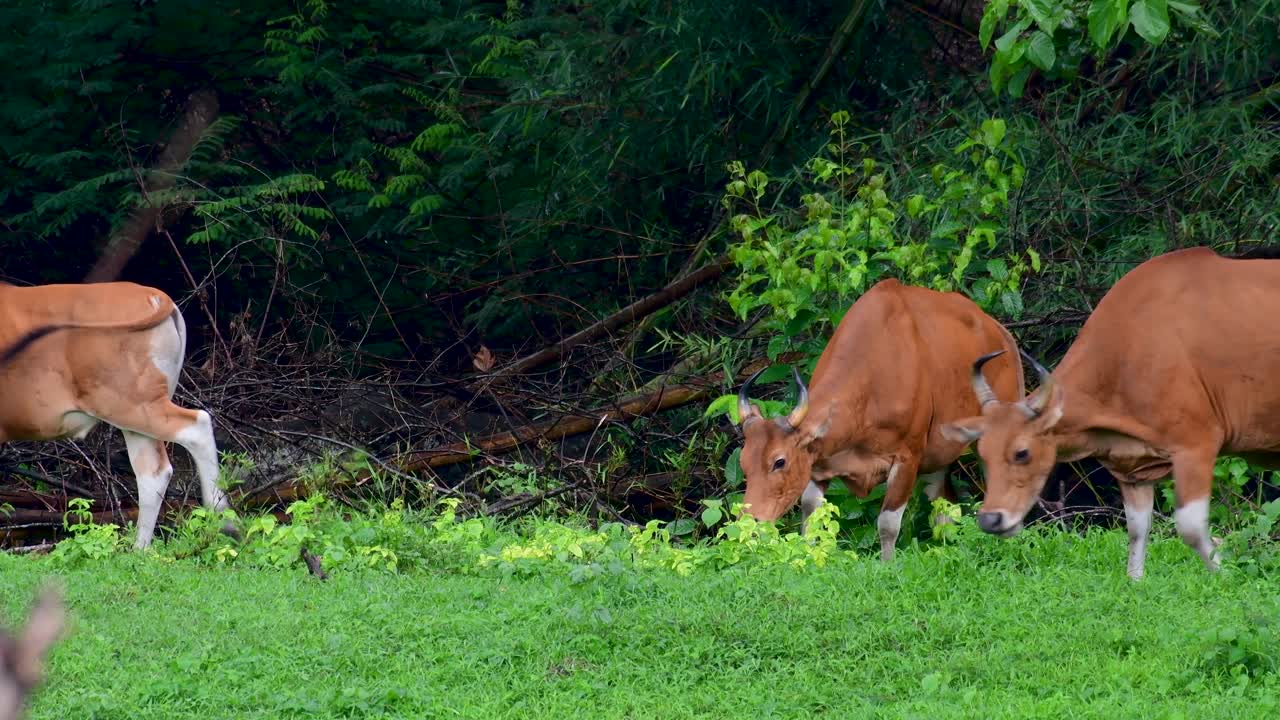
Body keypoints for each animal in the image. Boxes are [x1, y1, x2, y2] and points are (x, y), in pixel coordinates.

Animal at [0, 281, 235, 549]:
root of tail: (156, 296)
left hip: (130, 402)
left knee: (196, 425)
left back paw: (226, 526)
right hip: (136, 411)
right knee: (153, 470)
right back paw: (140, 549)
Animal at [734, 278, 1025, 561]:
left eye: (779, 462)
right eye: (744, 463)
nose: (751, 522)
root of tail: (1002, 334)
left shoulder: (908, 457)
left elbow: (887, 524)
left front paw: (888, 566)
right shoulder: (819, 461)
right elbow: (810, 513)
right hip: (938, 457)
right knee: (945, 506)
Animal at [941, 246, 1280, 579]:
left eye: (1022, 453)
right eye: (983, 454)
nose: (990, 520)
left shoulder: (1196, 445)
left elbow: (1191, 528)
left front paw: (1228, 577)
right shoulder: (1134, 469)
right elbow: (1137, 531)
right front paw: (1136, 582)